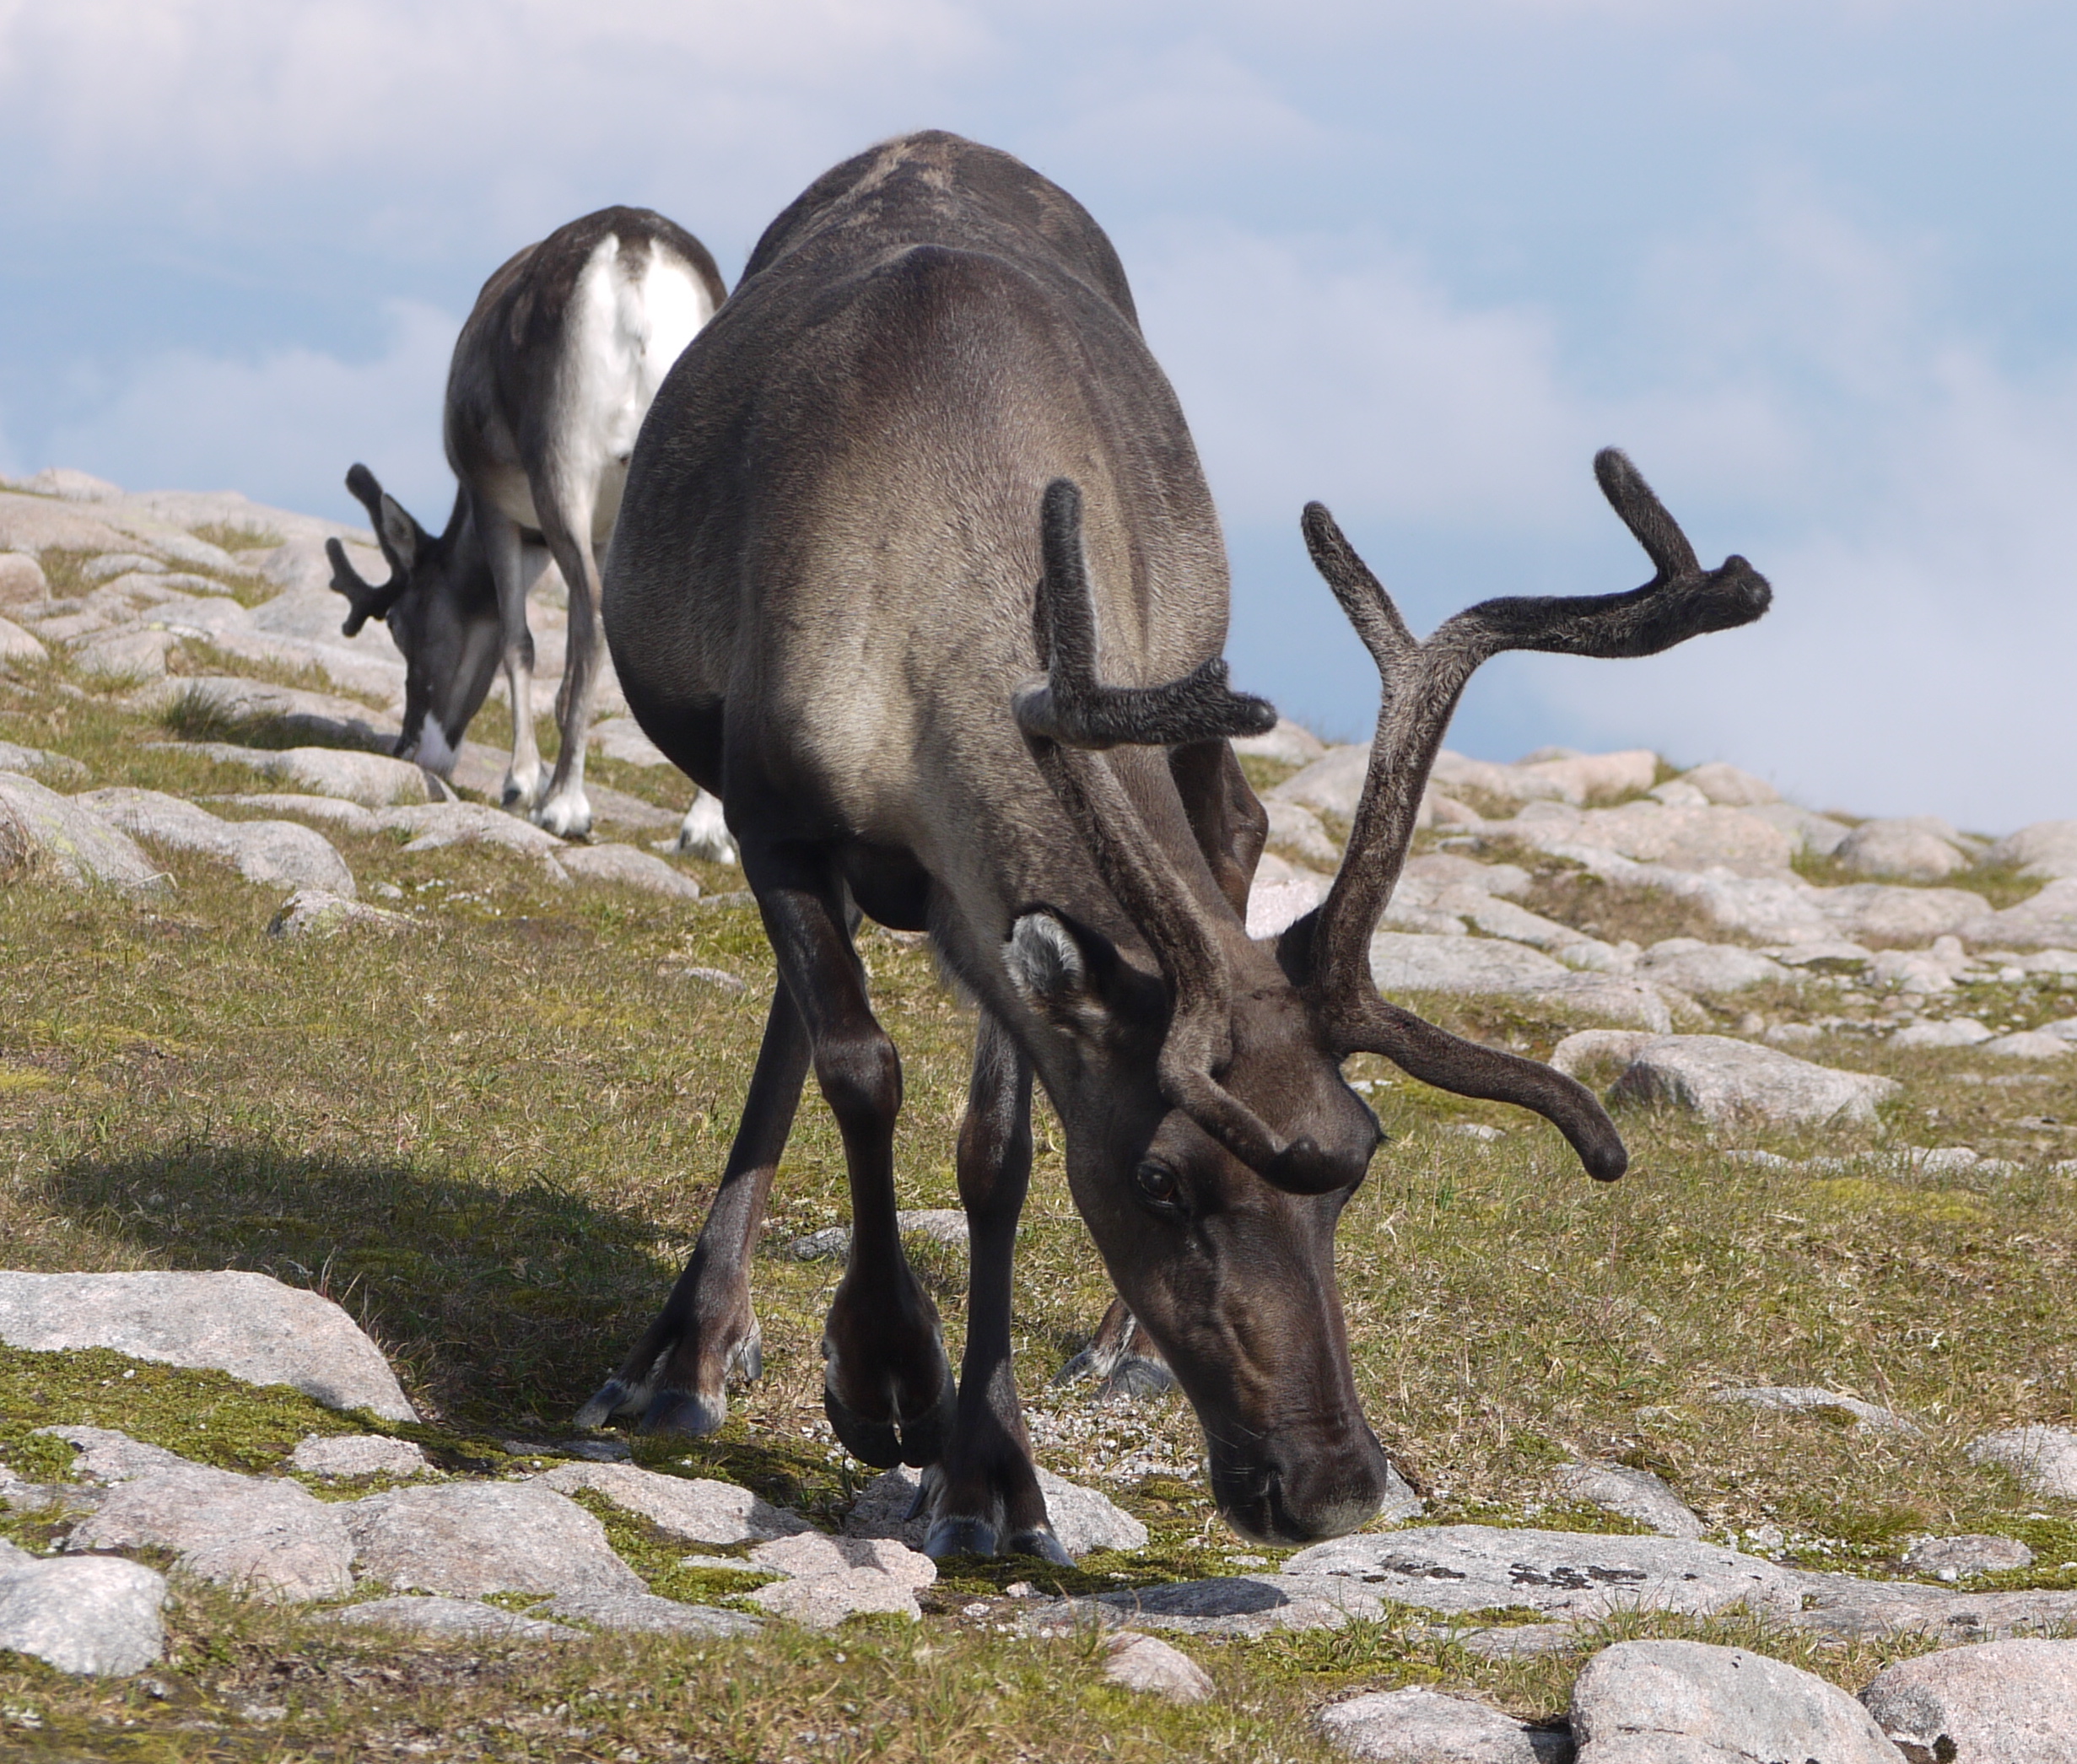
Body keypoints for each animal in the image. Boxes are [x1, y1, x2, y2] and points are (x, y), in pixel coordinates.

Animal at [326, 206, 729, 839]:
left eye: (397, 625)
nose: (410, 747)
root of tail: (635, 248)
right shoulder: (605, 531)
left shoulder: (497, 506)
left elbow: (519, 640)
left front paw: (521, 781)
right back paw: (705, 828)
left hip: (561, 464)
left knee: (592, 615)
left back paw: (565, 804)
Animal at [577, 133, 1770, 1561]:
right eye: (1161, 1180)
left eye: (1355, 1162)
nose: (1333, 1483)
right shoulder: (771, 805)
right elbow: (859, 1065)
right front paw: (886, 1378)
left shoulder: (1003, 875)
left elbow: (996, 1151)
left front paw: (986, 1470)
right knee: (806, 1024)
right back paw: (688, 1347)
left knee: (1235, 823)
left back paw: (1109, 1345)